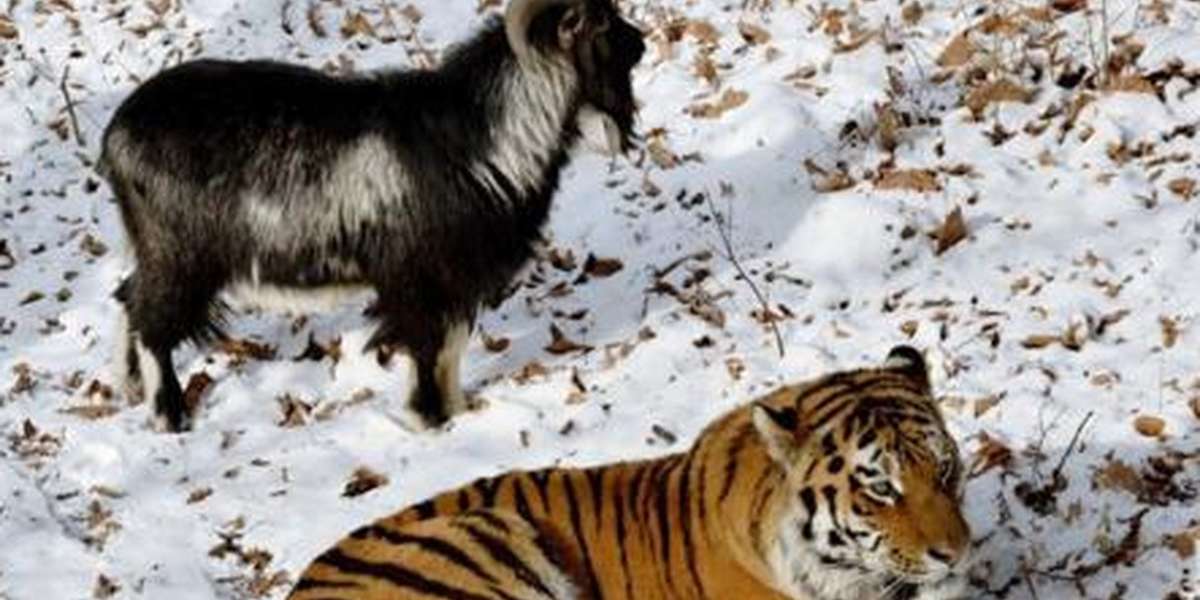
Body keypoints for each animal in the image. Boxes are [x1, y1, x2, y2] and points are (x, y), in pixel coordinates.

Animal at [100, 0, 645, 432]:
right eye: (600, 23)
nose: (640, 42)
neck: (486, 140)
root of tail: (116, 134)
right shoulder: (420, 281)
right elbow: (427, 347)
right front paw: (427, 419)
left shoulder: (455, 282)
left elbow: (451, 347)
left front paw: (456, 409)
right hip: (181, 258)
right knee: (151, 322)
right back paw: (169, 414)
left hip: (159, 253)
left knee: (128, 298)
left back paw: (130, 387)